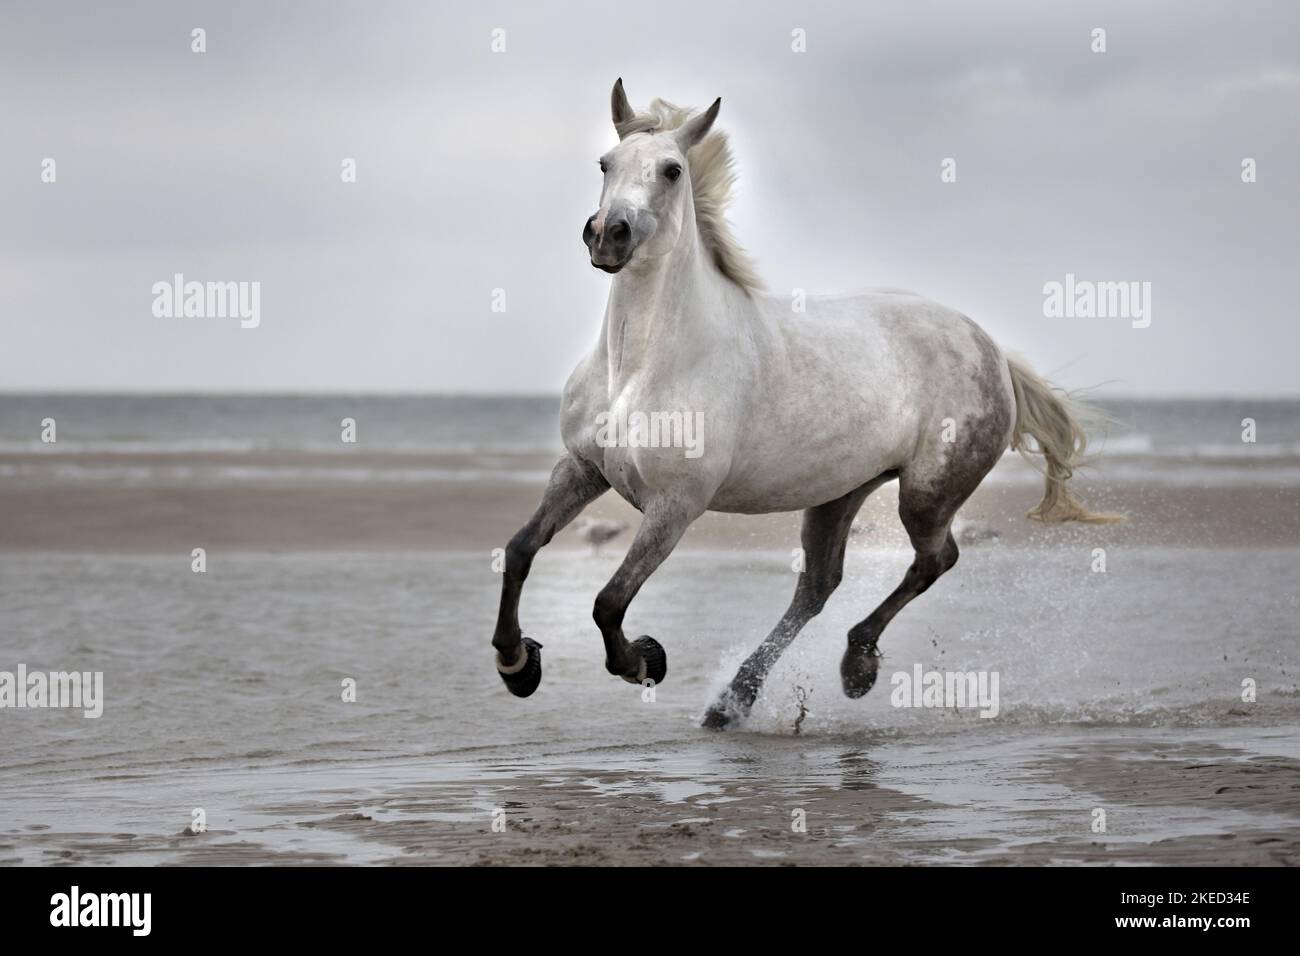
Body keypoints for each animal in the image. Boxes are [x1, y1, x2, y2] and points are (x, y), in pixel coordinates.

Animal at [491, 79, 1119, 729]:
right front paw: (518, 665)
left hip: (926, 495)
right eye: (605, 163)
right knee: (818, 586)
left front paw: (644, 661)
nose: (607, 235)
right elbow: (520, 550)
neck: (640, 366)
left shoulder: (675, 506)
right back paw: (735, 700)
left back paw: (854, 666)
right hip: (841, 492)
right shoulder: (582, 469)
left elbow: (609, 601)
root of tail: (990, 347)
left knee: (934, 559)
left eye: (671, 170)